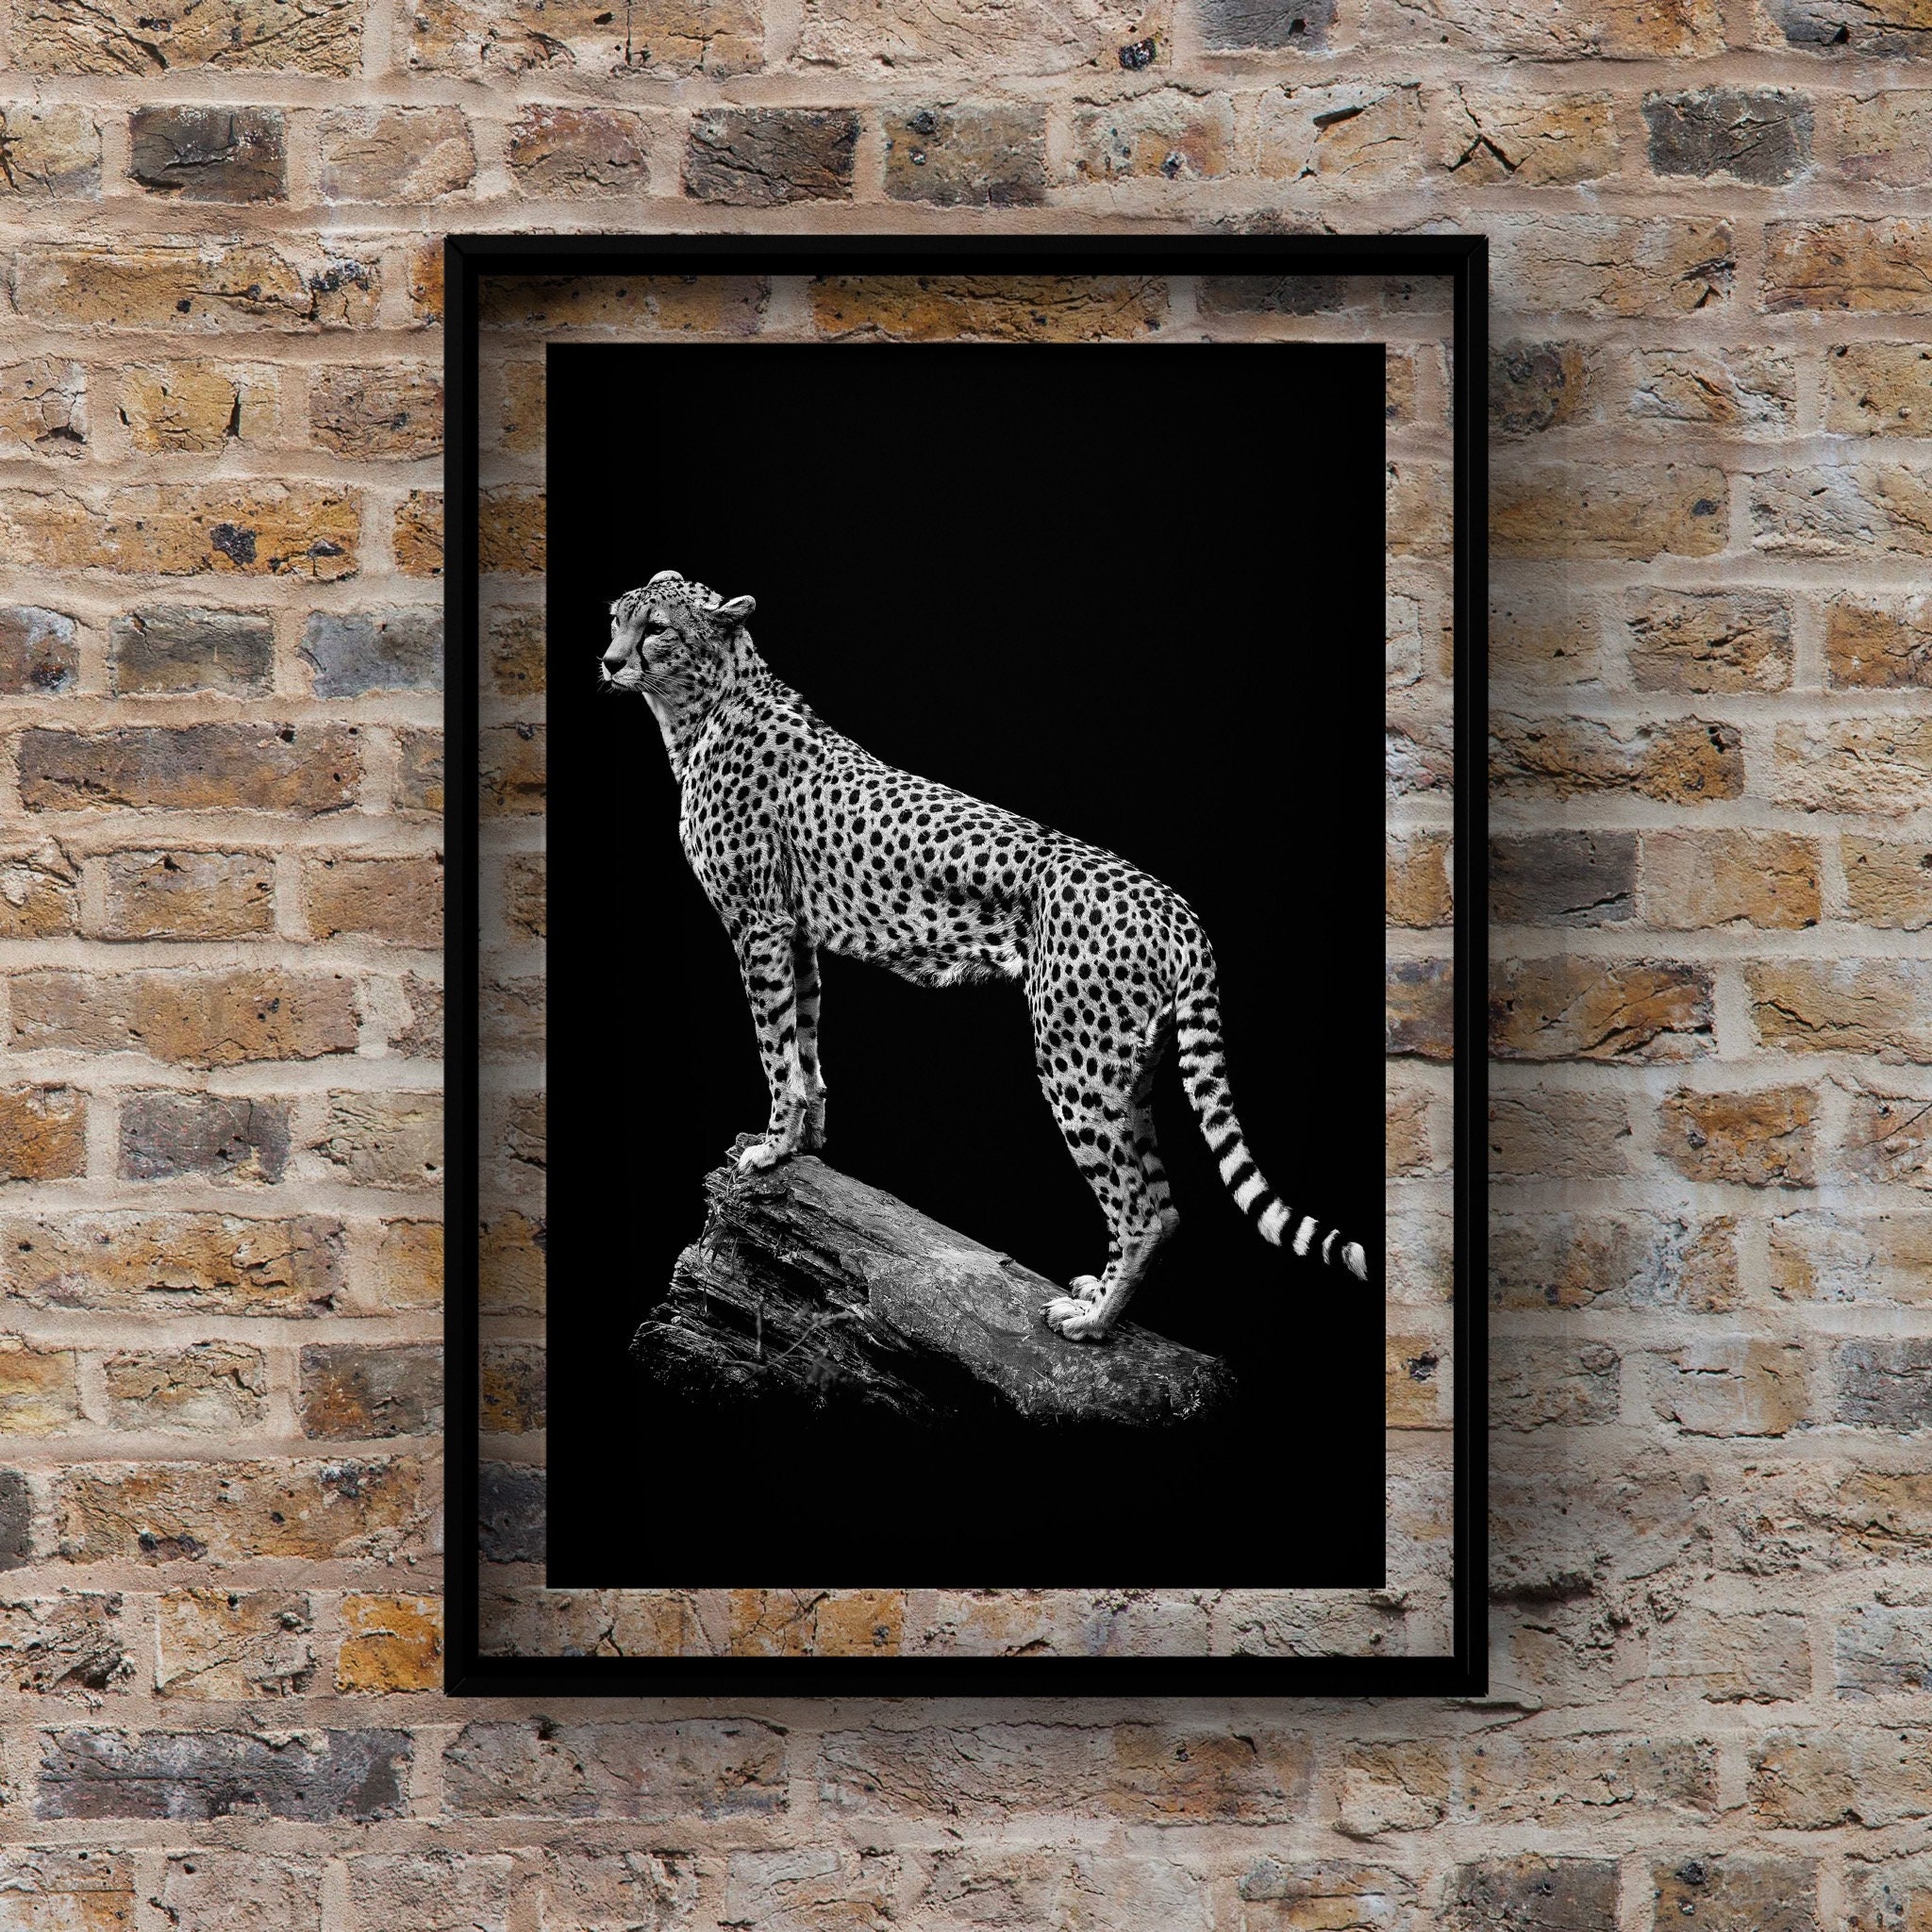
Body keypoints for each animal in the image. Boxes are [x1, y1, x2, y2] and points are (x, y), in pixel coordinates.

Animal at [600, 569, 1371, 1344]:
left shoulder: (757, 925)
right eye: (615, 619)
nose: (608, 662)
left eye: (657, 629)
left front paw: (772, 1147)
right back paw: (1101, 1295)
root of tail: (1175, 907)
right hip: (1128, 1070)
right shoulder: (797, 934)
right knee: (1163, 1199)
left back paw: (1093, 1321)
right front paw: (806, 1141)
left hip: (1073, 1063)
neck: (707, 706)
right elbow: (806, 1045)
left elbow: (775, 1049)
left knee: (1143, 1208)